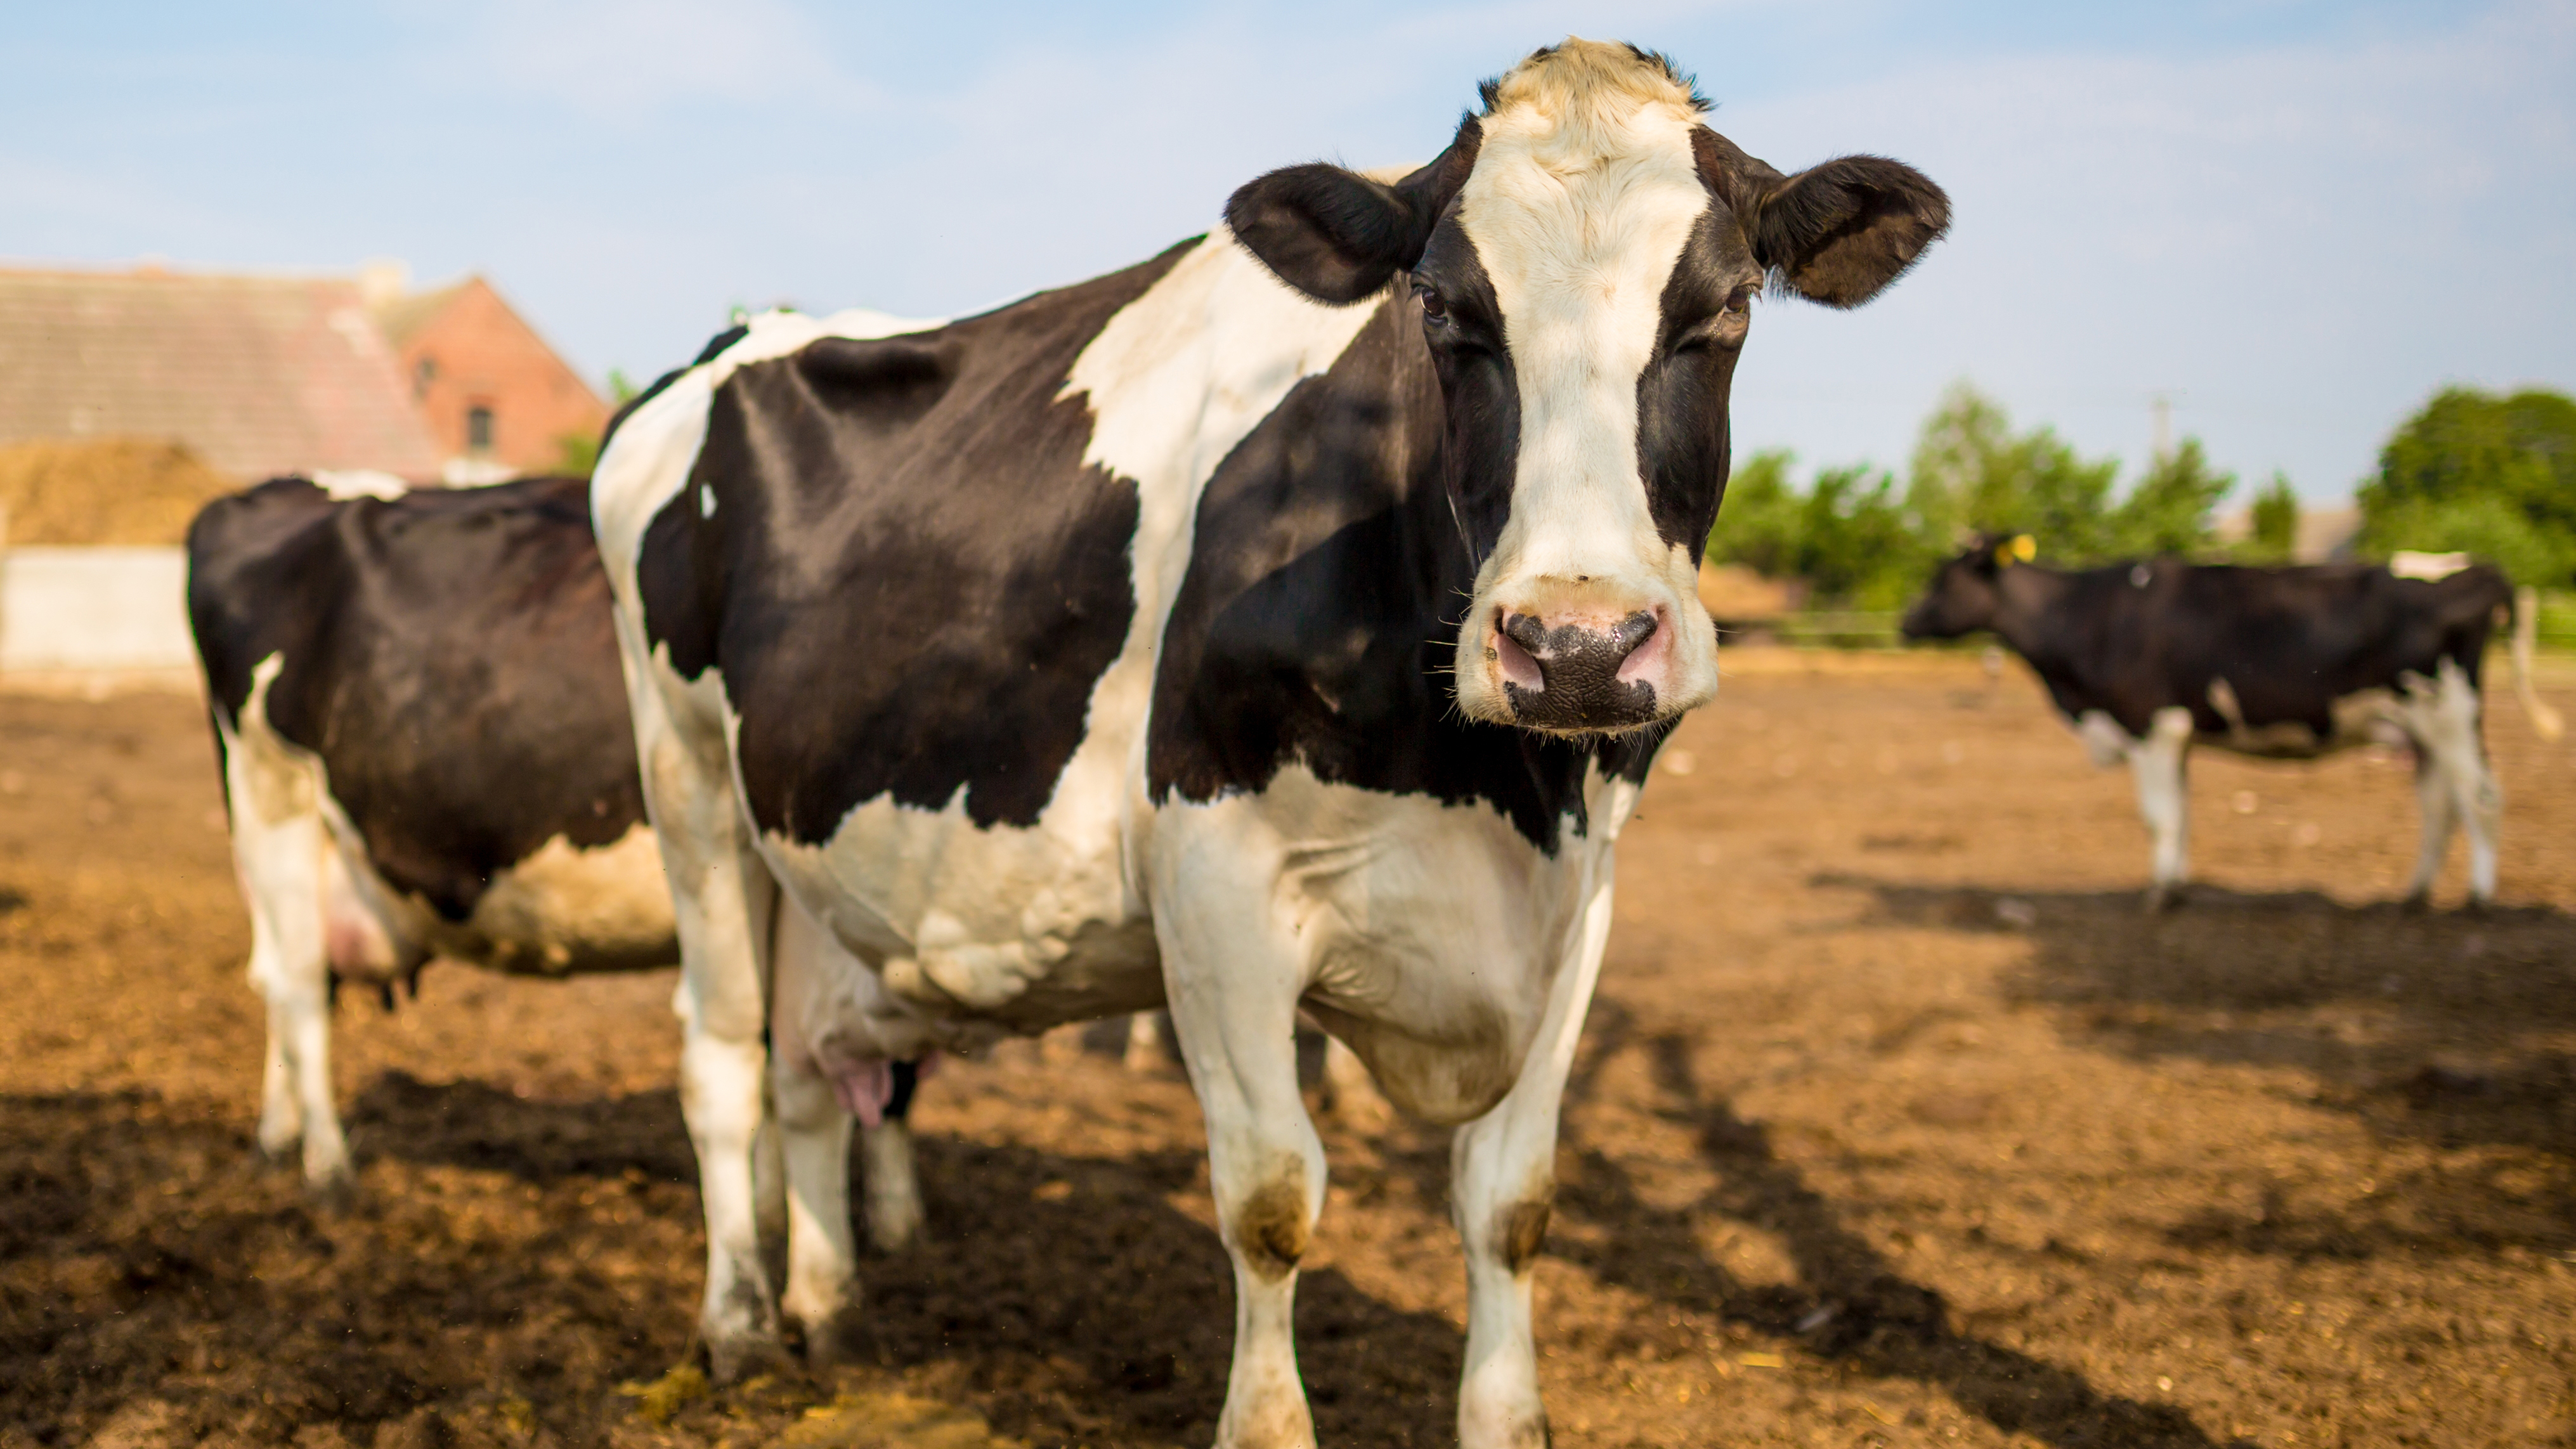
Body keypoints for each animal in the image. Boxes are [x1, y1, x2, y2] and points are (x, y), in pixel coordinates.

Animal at [185, 474, 926, 1250]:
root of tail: (280, 490)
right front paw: (882, 1222)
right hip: (274, 792)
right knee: (299, 986)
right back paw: (329, 1171)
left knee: (284, 976)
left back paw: (276, 1141)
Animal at [592, 39, 1946, 1446]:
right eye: (1445, 313)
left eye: (1725, 312)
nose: (1574, 645)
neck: (1493, 790)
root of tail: (750, 337)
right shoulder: (1216, 891)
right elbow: (1269, 1199)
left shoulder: (1584, 900)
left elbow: (1511, 1202)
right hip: (687, 780)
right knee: (721, 1056)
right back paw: (738, 1326)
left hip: (805, 832)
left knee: (809, 1066)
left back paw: (828, 1308)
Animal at [1899, 535, 2566, 911]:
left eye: (1944, 578)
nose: (1905, 621)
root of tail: (2470, 565)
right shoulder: (2180, 735)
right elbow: (2184, 812)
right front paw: (2178, 885)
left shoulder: (2152, 726)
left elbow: (2159, 816)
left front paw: (2158, 896)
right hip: (2421, 727)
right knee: (2438, 803)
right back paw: (2414, 895)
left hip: (2447, 709)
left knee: (2481, 797)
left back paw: (2477, 898)